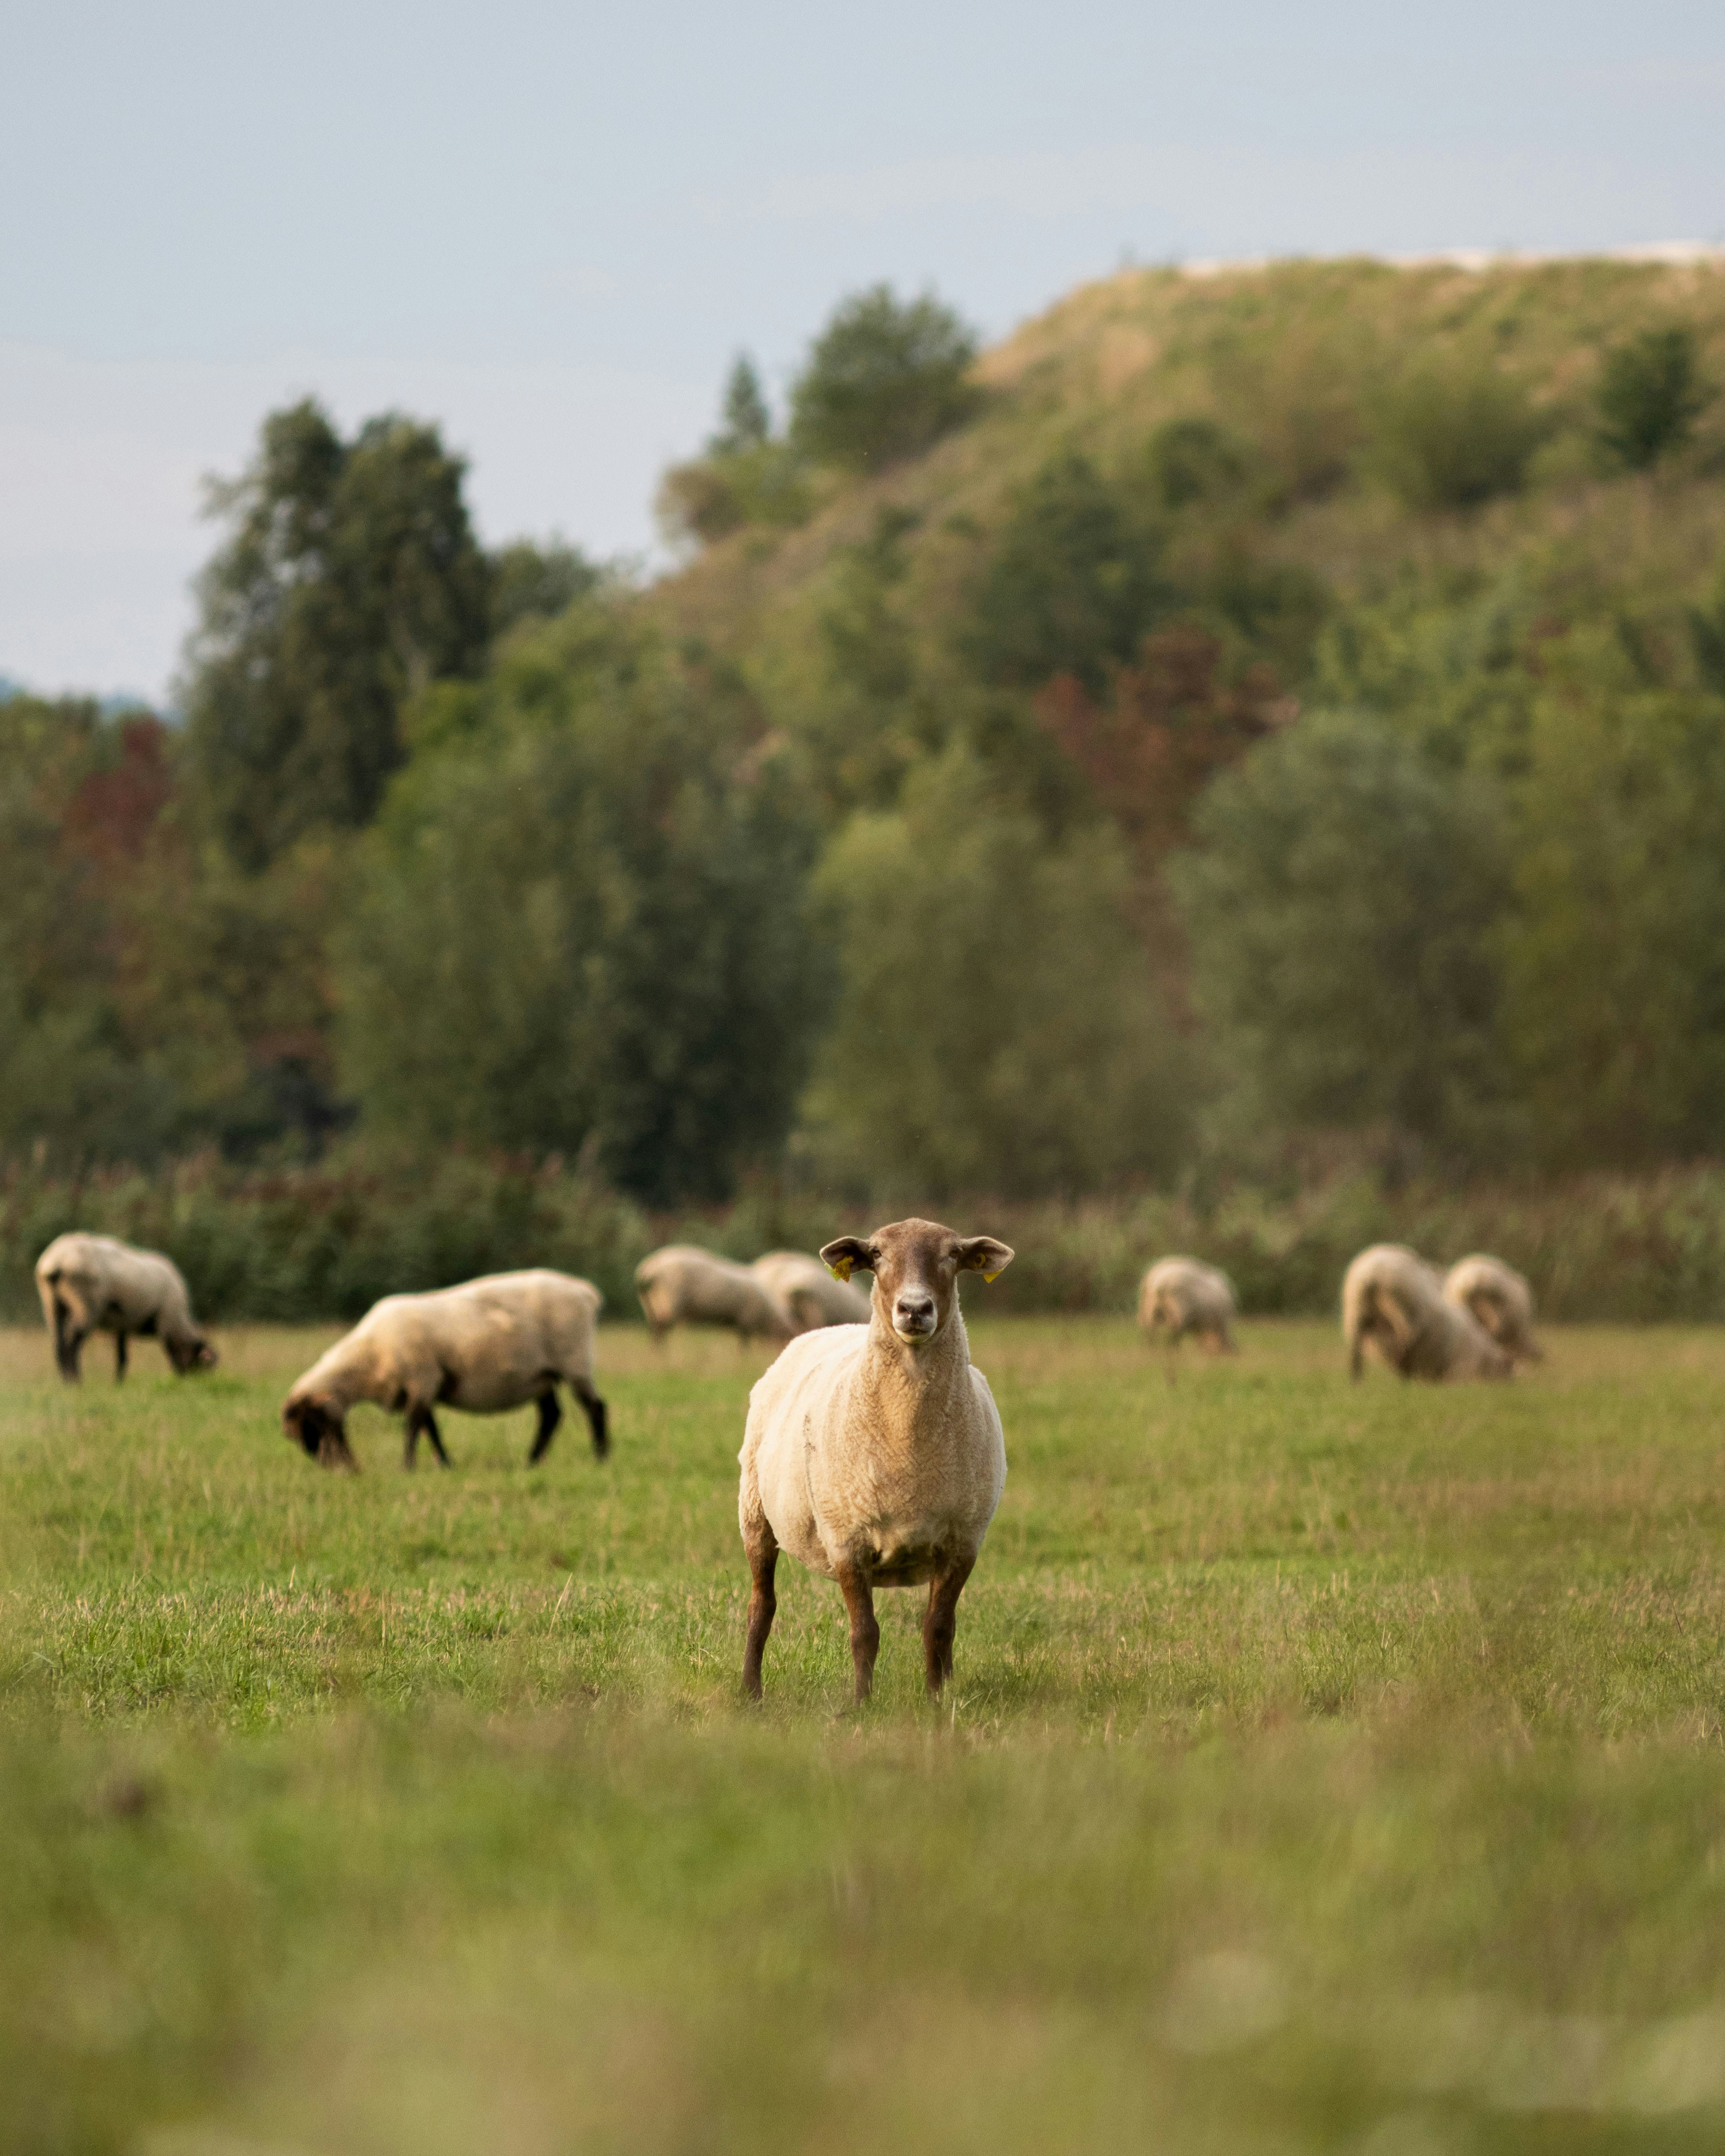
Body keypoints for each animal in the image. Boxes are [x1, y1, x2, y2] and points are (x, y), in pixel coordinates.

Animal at [34, 1232, 217, 1382]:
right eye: (201, 1364)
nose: (191, 1380)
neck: (181, 1320)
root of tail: (57, 1260)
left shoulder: (122, 1324)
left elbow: (122, 1355)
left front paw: (119, 1382)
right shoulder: (166, 1319)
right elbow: (171, 1351)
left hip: (51, 1303)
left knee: (58, 1343)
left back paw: (66, 1379)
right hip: (86, 1302)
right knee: (73, 1342)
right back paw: (75, 1380)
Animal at [281, 1269, 607, 1471]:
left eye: (311, 1424)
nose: (340, 1470)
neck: (368, 1360)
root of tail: (585, 1291)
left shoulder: (422, 1379)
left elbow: (413, 1427)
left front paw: (408, 1467)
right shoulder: (422, 1387)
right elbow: (430, 1428)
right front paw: (444, 1464)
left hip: (574, 1363)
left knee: (595, 1407)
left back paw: (601, 1457)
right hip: (541, 1376)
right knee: (551, 1416)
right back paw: (532, 1462)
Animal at [635, 1244, 794, 1345]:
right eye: (787, 1337)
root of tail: (650, 1268)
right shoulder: (746, 1320)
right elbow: (744, 1345)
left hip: (650, 1304)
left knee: (655, 1328)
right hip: (668, 1301)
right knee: (661, 1328)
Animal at [1138, 1256, 1238, 1360]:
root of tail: (1157, 1279)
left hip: (1149, 1308)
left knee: (1150, 1331)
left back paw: (1151, 1353)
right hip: (1178, 1310)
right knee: (1173, 1333)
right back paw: (1174, 1354)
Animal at [1342, 1243, 1511, 1383]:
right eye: (1506, 1372)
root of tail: (1372, 1273)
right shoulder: (1460, 1367)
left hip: (1358, 1312)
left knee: (1356, 1352)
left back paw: (1357, 1383)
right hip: (1400, 1307)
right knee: (1405, 1339)